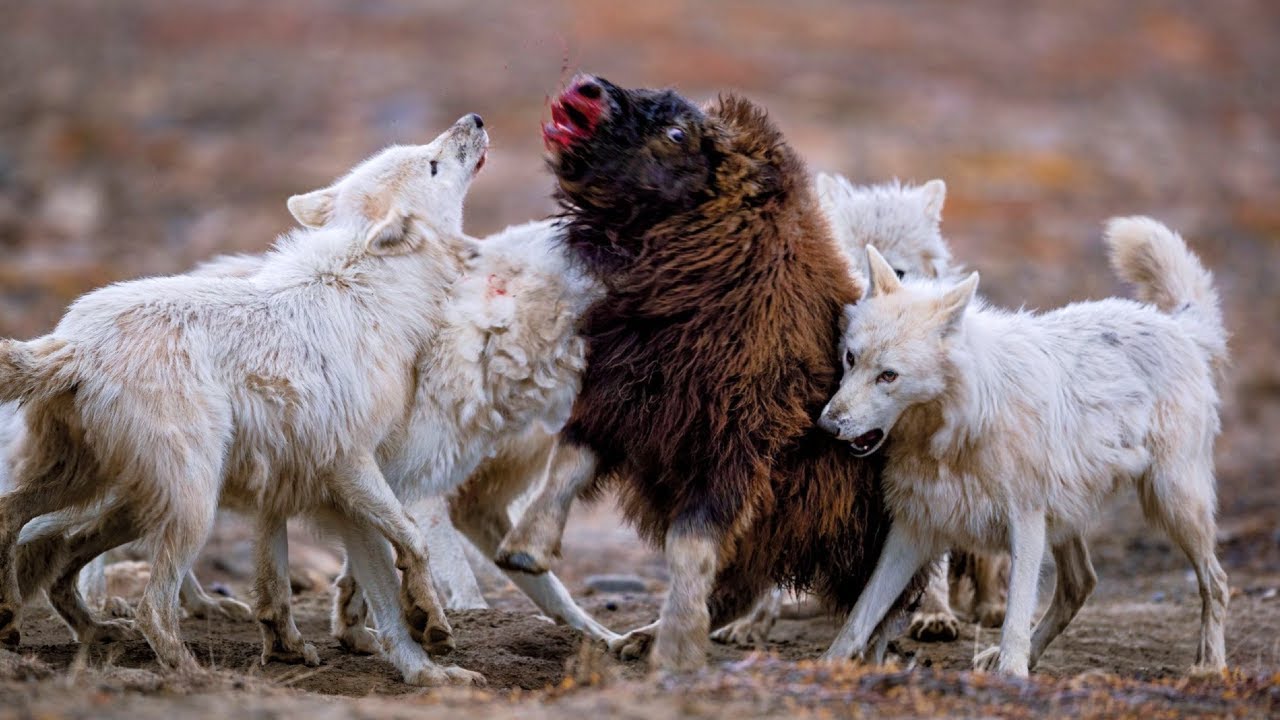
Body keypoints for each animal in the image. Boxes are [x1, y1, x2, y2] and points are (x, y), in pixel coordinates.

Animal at [0, 115, 490, 686]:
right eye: (432, 164)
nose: (474, 121)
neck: (369, 293)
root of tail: (73, 342)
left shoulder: (330, 490)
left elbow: (355, 588)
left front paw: (422, 670)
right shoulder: (352, 466)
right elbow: (411, 540)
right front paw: (431, 624)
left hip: (106, 491)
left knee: (23, 523)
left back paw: (36, 621)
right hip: (189, 505)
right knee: (149, 605)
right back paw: (192, 673)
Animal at [817, 218, 1230, 676]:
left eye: (888, 376)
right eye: (851, 359)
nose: (827, 424)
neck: (954, 434)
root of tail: (1178, 328)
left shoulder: (1025, 521)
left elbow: (1014, 615)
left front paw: (1011, 675)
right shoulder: (915, 528)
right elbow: (861, 615)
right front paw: (827, 666)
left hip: (1173, 503)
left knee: (1216, 581)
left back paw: (1211, 665)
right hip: (1071, 516)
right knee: (1080, 584)